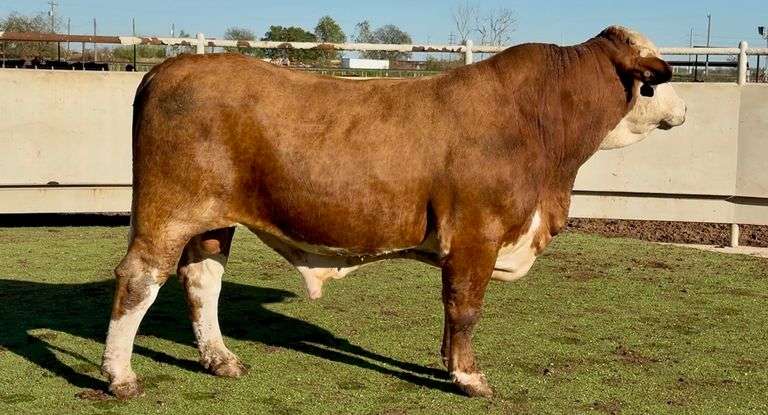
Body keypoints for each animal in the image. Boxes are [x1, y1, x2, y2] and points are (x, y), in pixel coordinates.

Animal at [102, 26, 686, 399]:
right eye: (655, 82)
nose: (684, 108)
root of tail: (171, 67)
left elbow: (453, 312)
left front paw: (450, 366)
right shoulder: (476, 235)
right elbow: (465, 308)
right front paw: (470, 378)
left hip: (212, 220)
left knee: (202, 279)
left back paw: (220, 359)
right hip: (167, 211)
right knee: (139, 279)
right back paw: (120, 376)